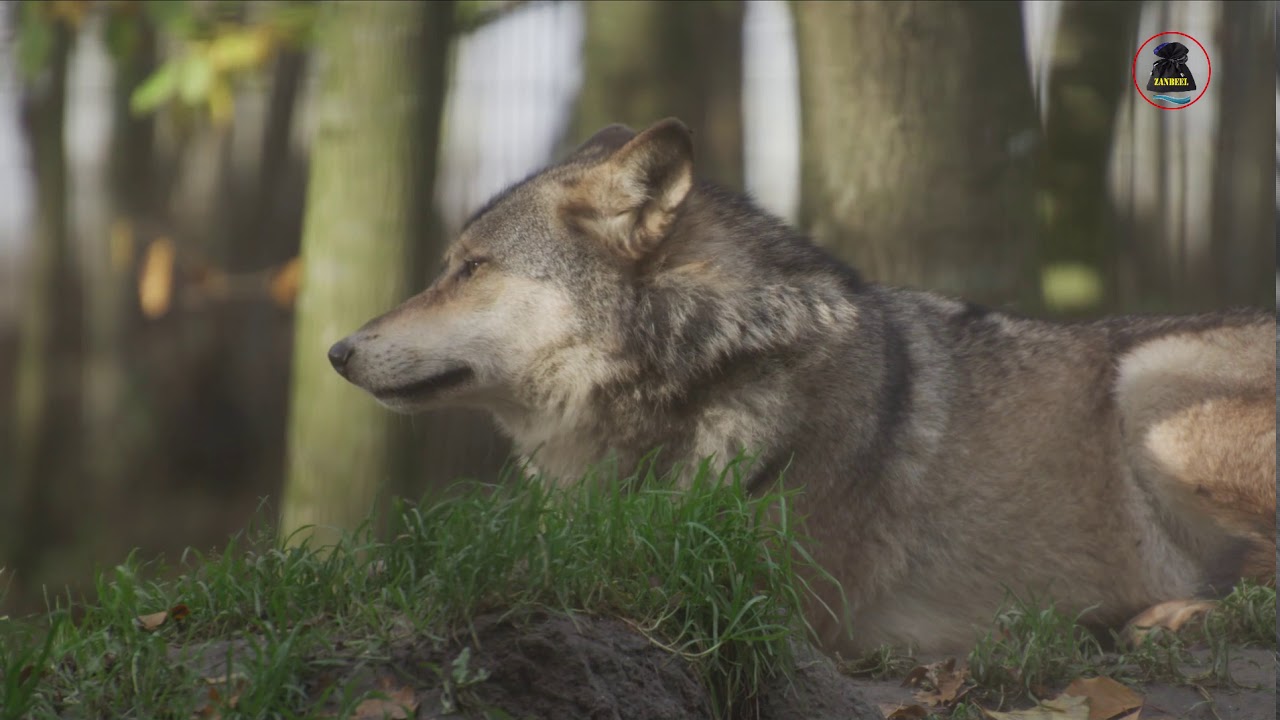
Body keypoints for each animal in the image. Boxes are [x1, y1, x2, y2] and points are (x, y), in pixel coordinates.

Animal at [326, 118, 1276, 655]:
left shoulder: (755, 600)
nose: (336, 350)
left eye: (470, 269)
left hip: (1150, 383)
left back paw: (1166, 616)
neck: (713, 375)